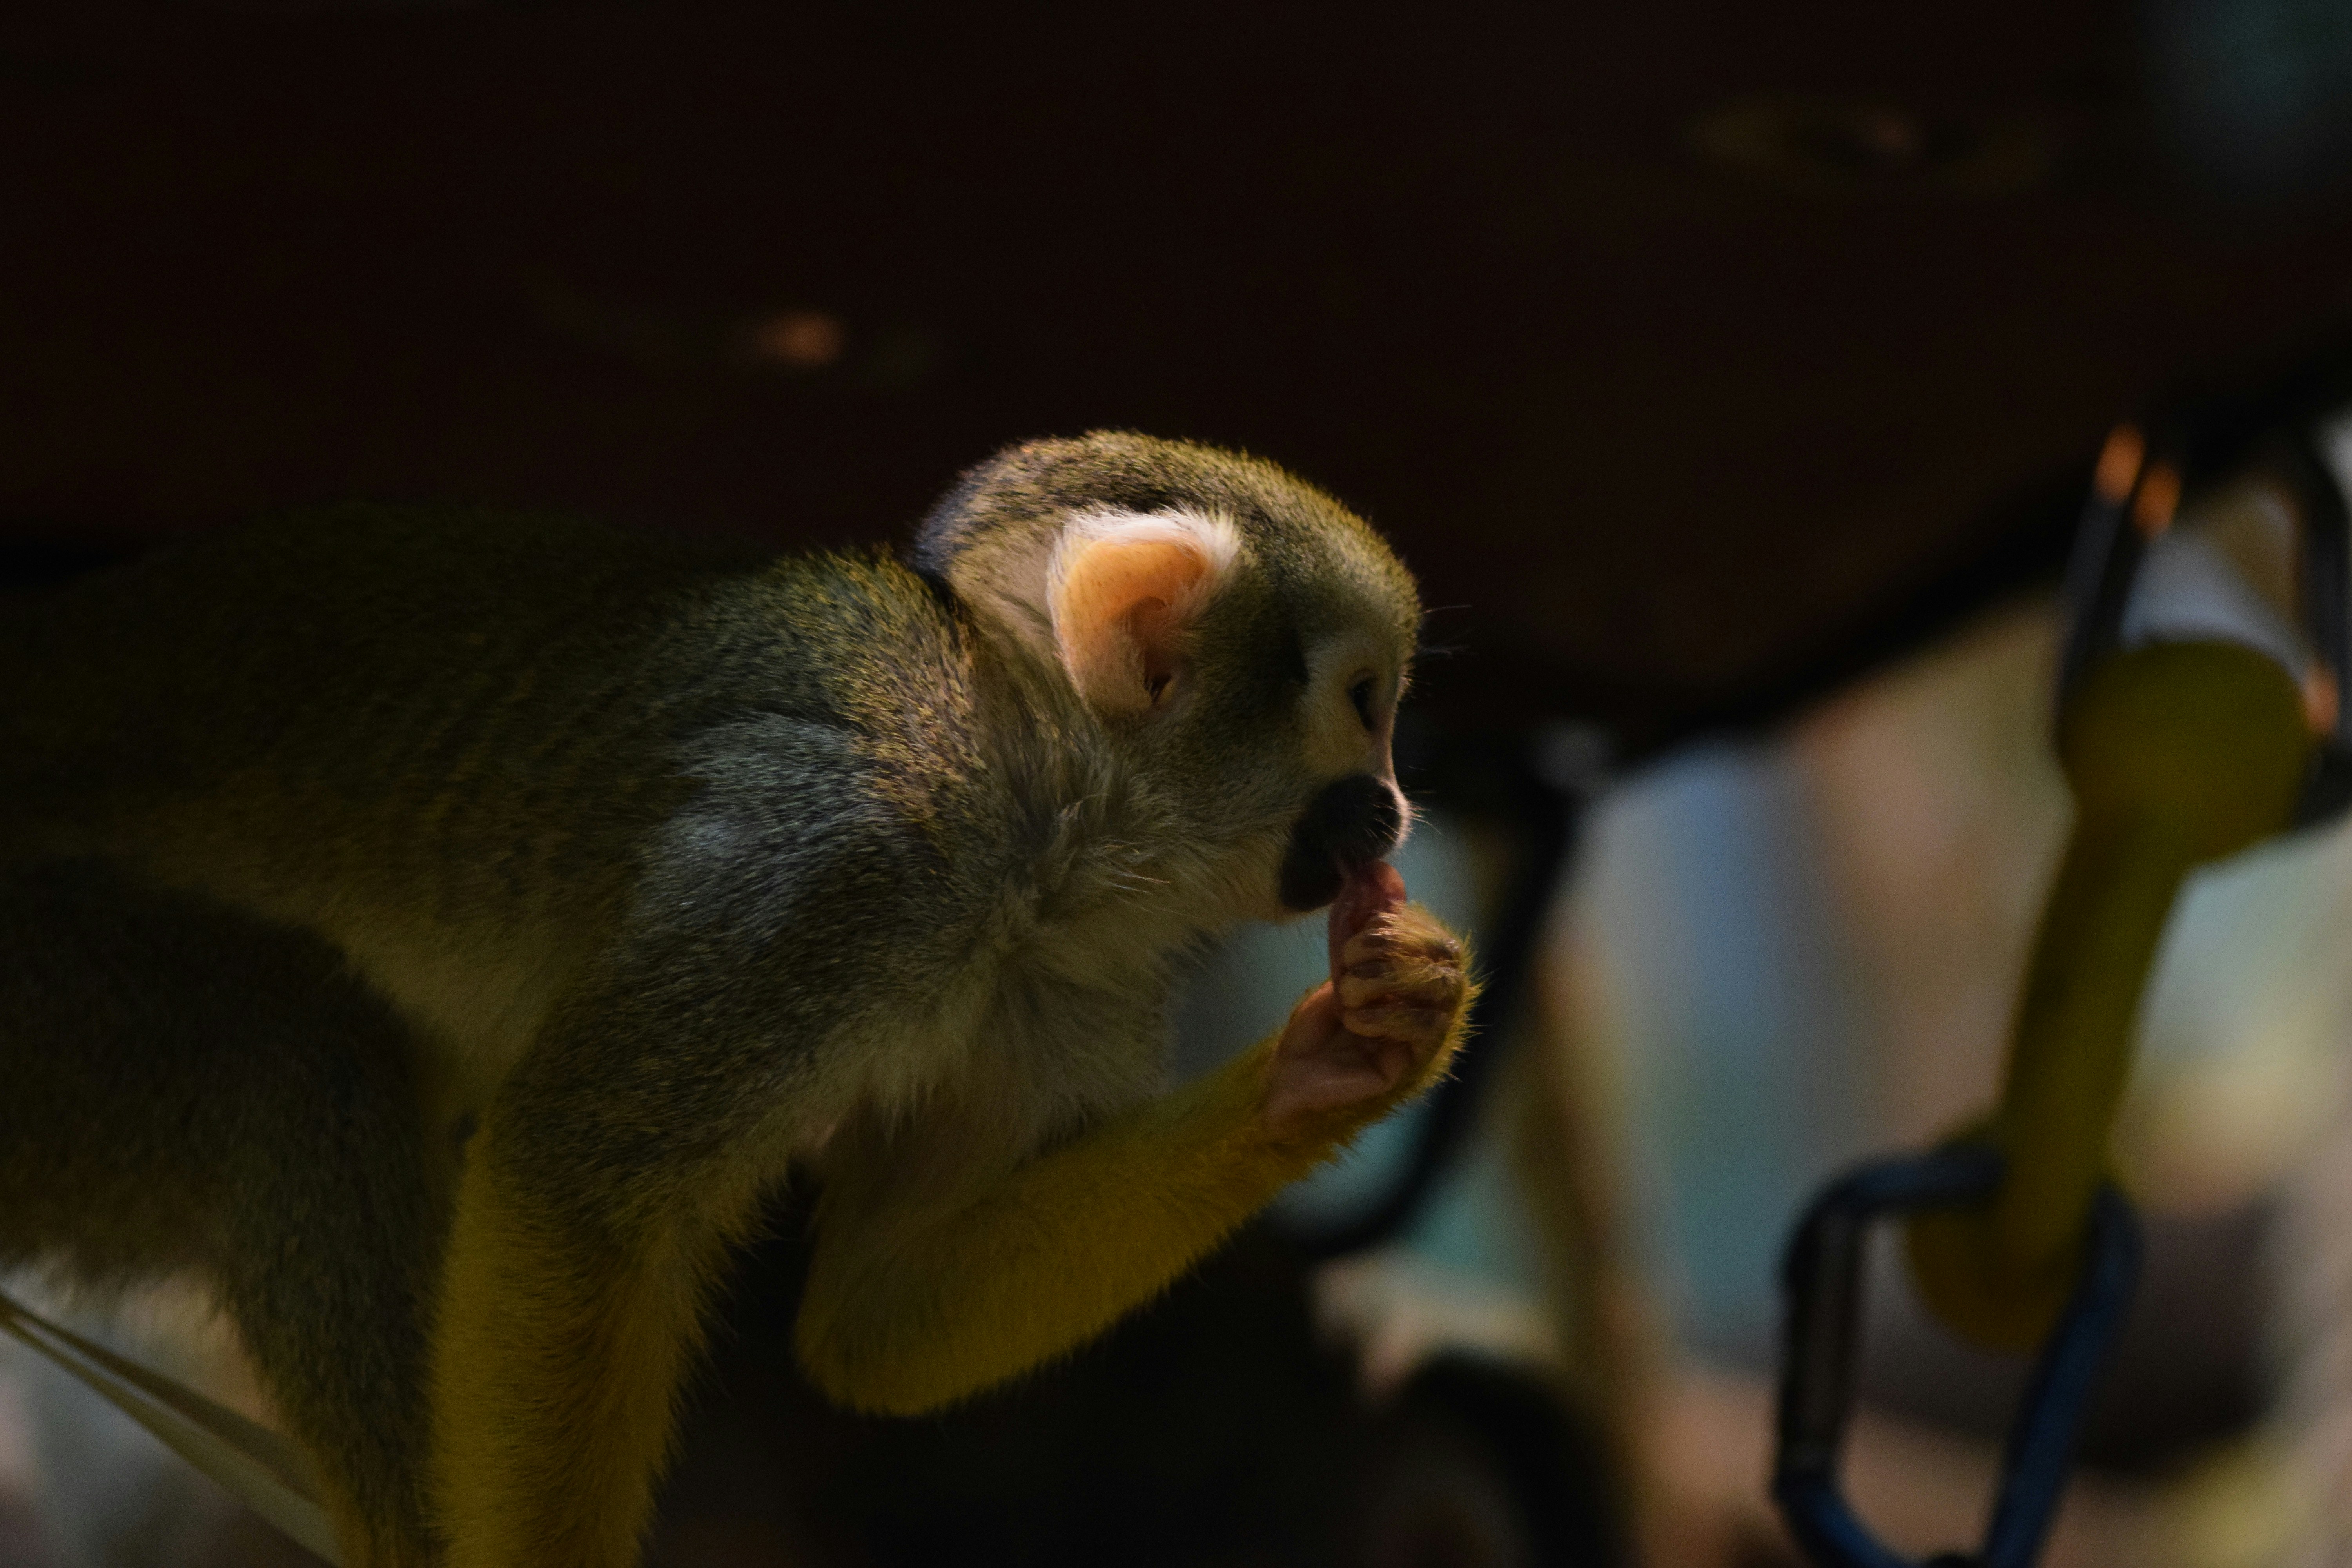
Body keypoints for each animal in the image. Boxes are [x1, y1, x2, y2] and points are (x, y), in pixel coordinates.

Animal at [0, 431, 1475, 1568]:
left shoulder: (1059, 984)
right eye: (1364, 704)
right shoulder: (851, 861)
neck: (1033, 813)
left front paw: (1351, 1055)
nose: (1396, 806)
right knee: (286, 1066)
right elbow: (573, 1176)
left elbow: (878, 1321)